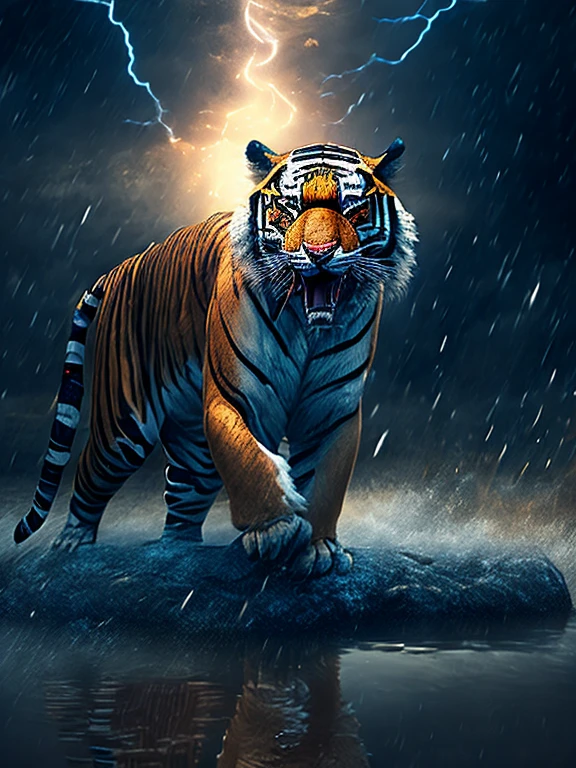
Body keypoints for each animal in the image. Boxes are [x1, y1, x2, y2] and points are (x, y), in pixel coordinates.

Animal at [13, 139, 417, 578]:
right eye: (288, 208)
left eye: (353, 208)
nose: (319, 253)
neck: (307, 322)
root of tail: (122, 266)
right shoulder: (237, 397)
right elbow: (248, 458)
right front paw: (274, 530)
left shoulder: (331, 410)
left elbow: (325, 478)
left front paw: (318, 547)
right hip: (123, 425)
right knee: (89, 473)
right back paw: (71, 543)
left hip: (192, 442)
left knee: (182, 500)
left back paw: (177, 553)